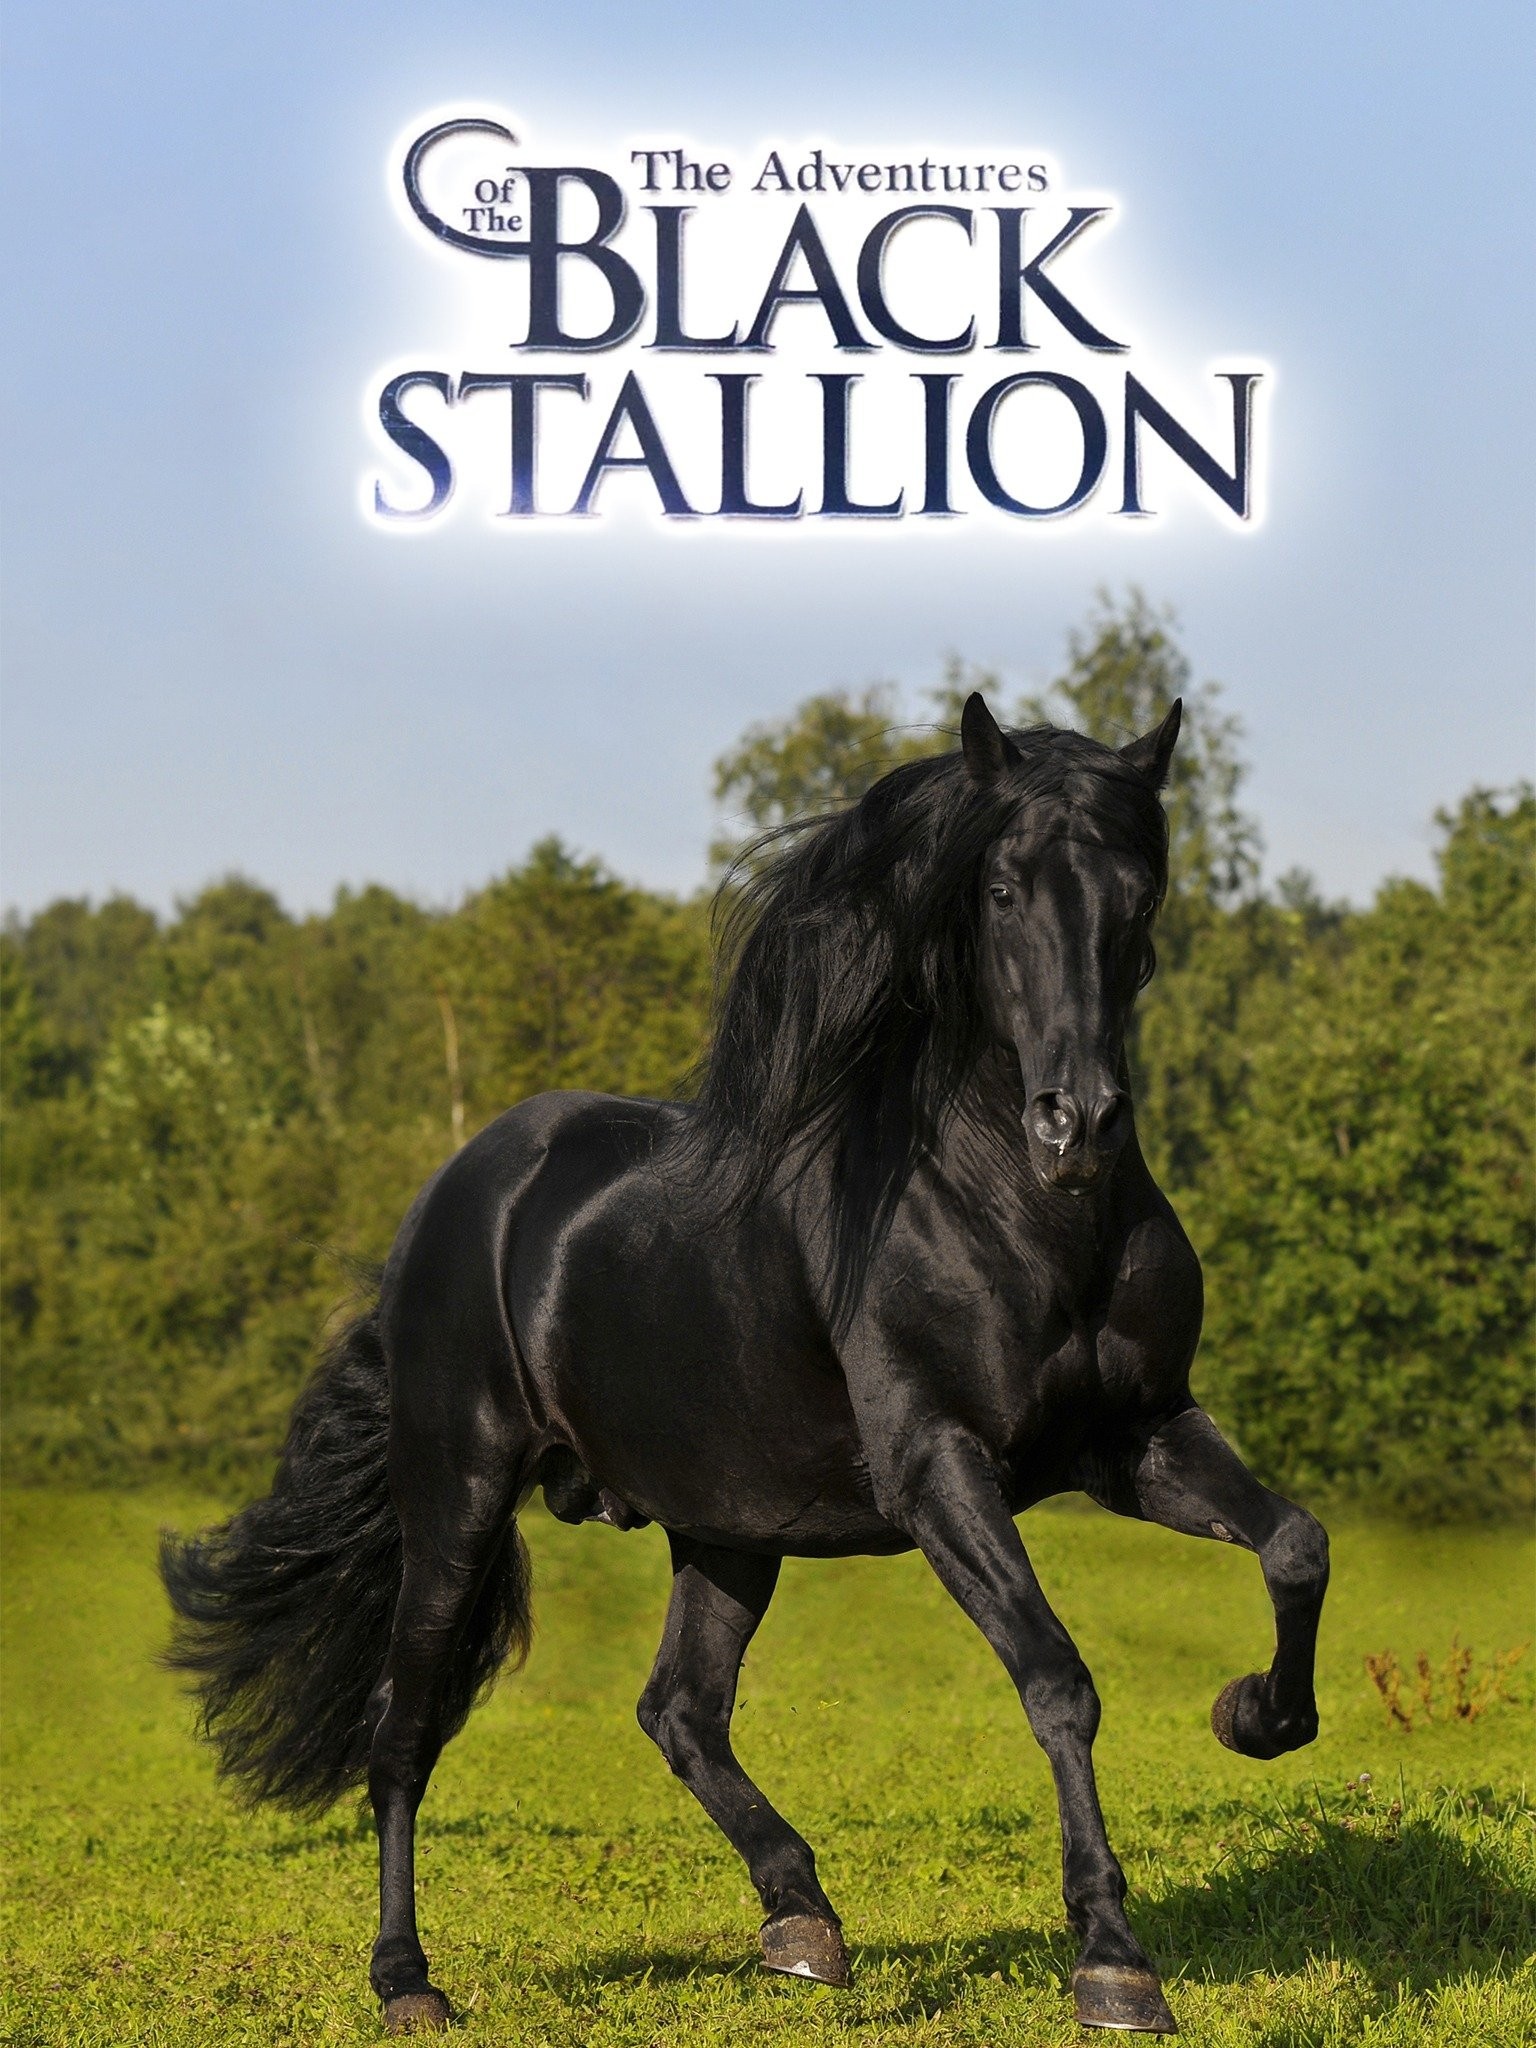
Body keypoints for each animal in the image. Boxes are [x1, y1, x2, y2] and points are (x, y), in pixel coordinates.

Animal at [161, 694, 1330, 2038]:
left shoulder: (1136, 1434)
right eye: (999, 889)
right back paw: (409, 1980)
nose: (1076, 1123)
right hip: (457, 1493)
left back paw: (803, 1922)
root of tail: (454, 1198)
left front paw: (1256, 1713)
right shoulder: (938, 1464)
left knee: (678, 1707)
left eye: (1140, 892)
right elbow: (1057, 1675)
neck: (1017, 1211)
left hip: (726, 1522)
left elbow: (1296, 1544)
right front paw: (1115, 1961)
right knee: (405, 1723)